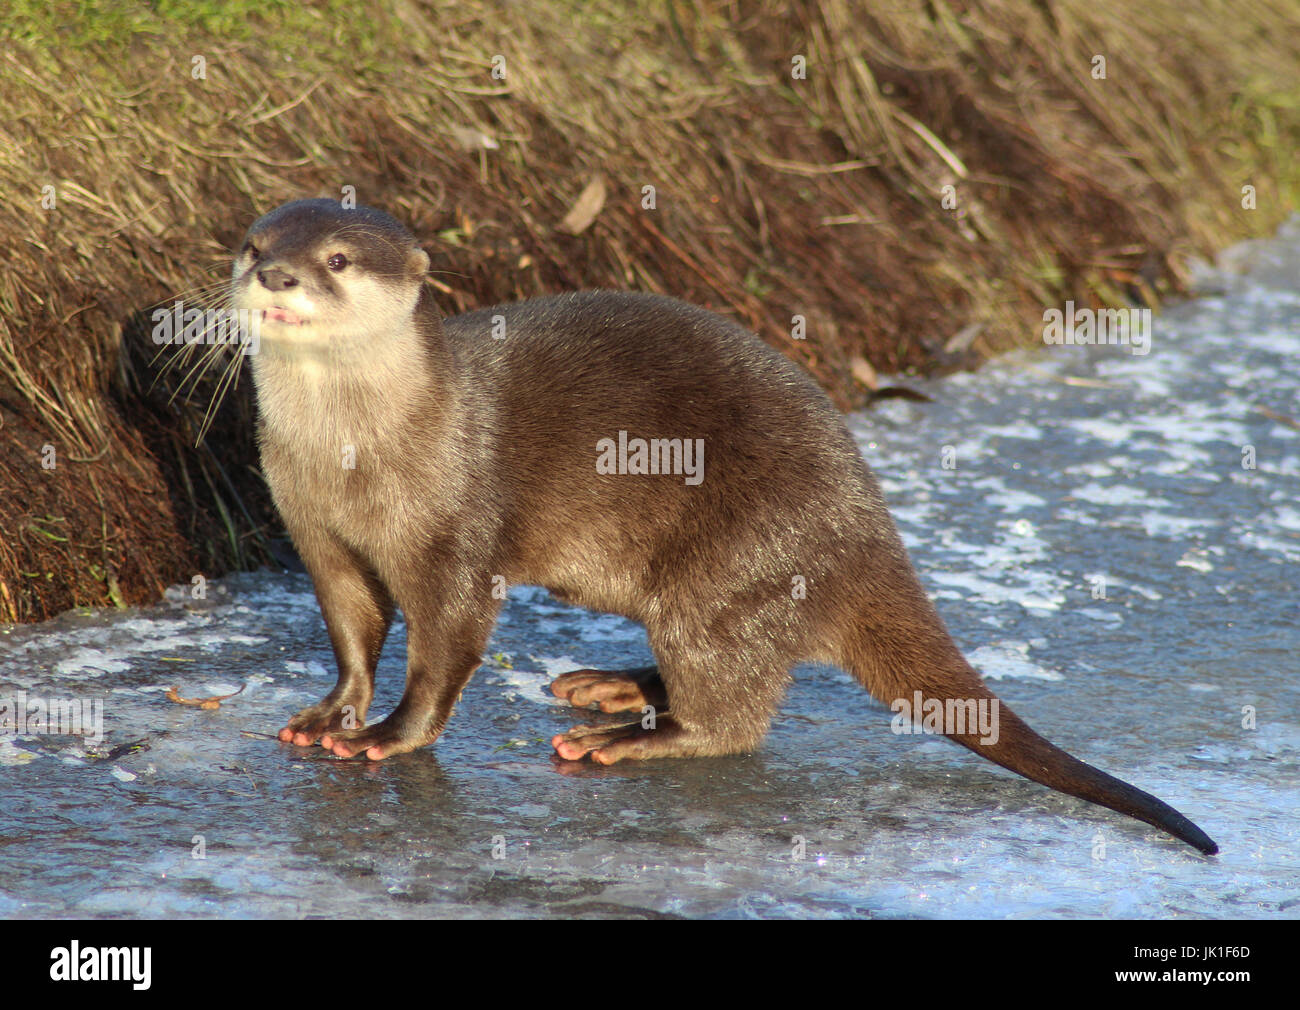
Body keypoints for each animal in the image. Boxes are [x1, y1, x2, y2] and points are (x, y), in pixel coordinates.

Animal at [229, 198, 1217, 855]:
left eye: (339, 258)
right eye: (252, 243)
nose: (275, 274)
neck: (357, 457)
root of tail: (863, 529)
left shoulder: (456, 530)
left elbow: (444, 648)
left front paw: (387, 736)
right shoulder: (314, 530)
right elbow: (353, 628)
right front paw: (331, 712)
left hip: (729, 566)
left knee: (735, 713)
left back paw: (624, 739)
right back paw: (614, 687)